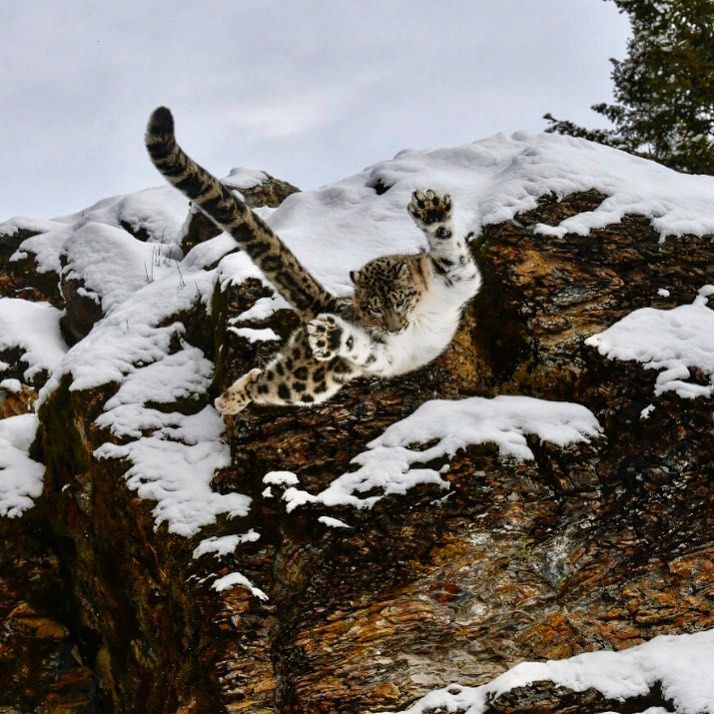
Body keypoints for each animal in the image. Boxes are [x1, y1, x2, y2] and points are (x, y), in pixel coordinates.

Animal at [145, 107, 481, 414]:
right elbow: (356, 343)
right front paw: (333, 335)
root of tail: (331, 303)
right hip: (309, 378)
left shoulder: (457, 279)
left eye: (400, 300)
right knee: (264, 380)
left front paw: (433, 213)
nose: (395, 328)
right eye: (373, 308)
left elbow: (449, 249)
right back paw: (227, 401)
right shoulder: (374, 345)